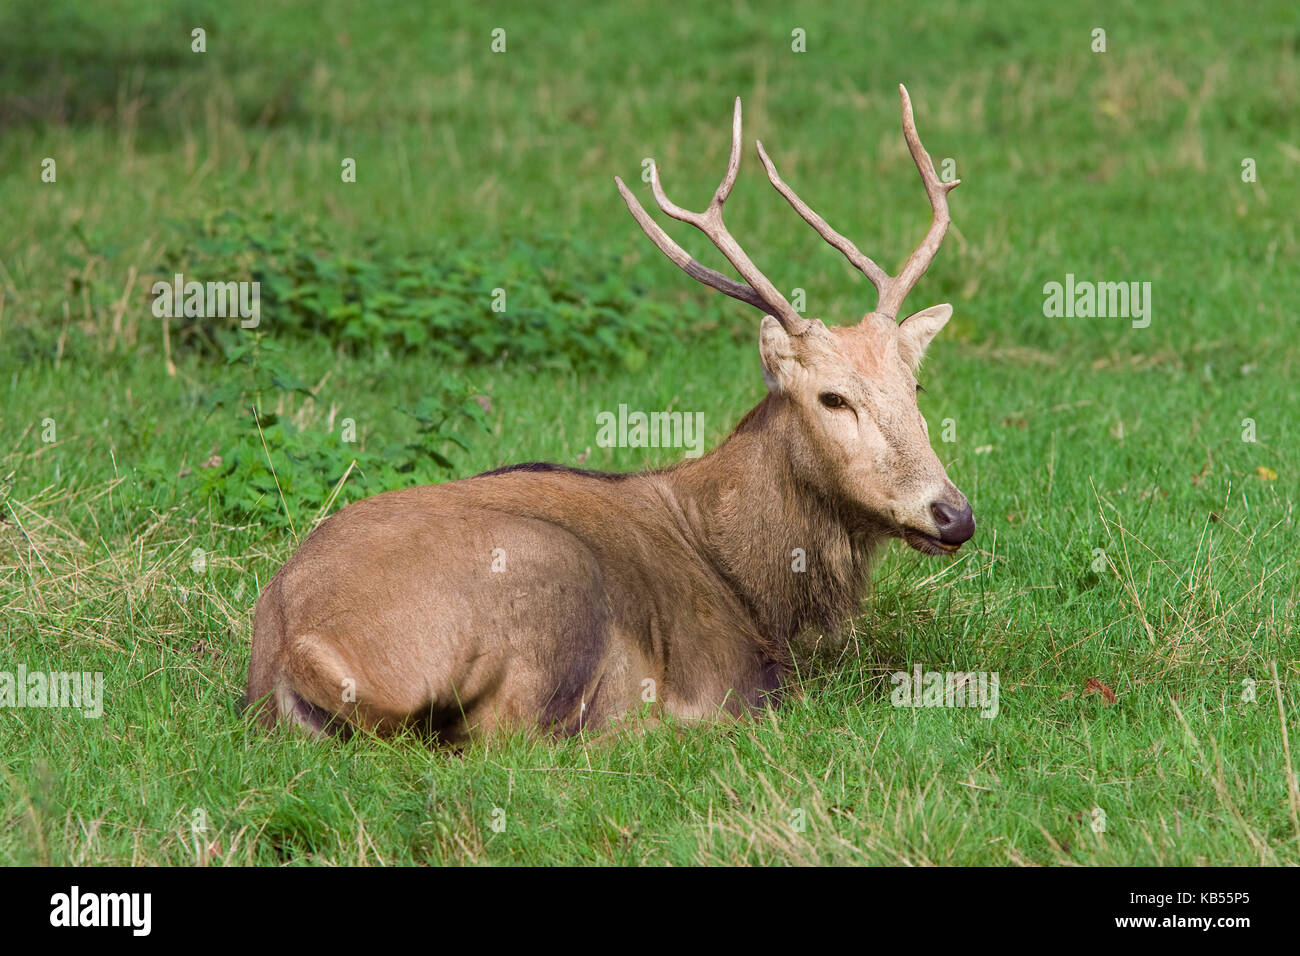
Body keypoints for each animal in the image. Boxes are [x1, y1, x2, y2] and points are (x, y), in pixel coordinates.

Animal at [245, 85, 974, 743]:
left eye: (915, 387)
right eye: (833, 397)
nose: (954, 514)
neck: (750, 586)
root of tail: (296, 652)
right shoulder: (727, 674)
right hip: (545, 573)